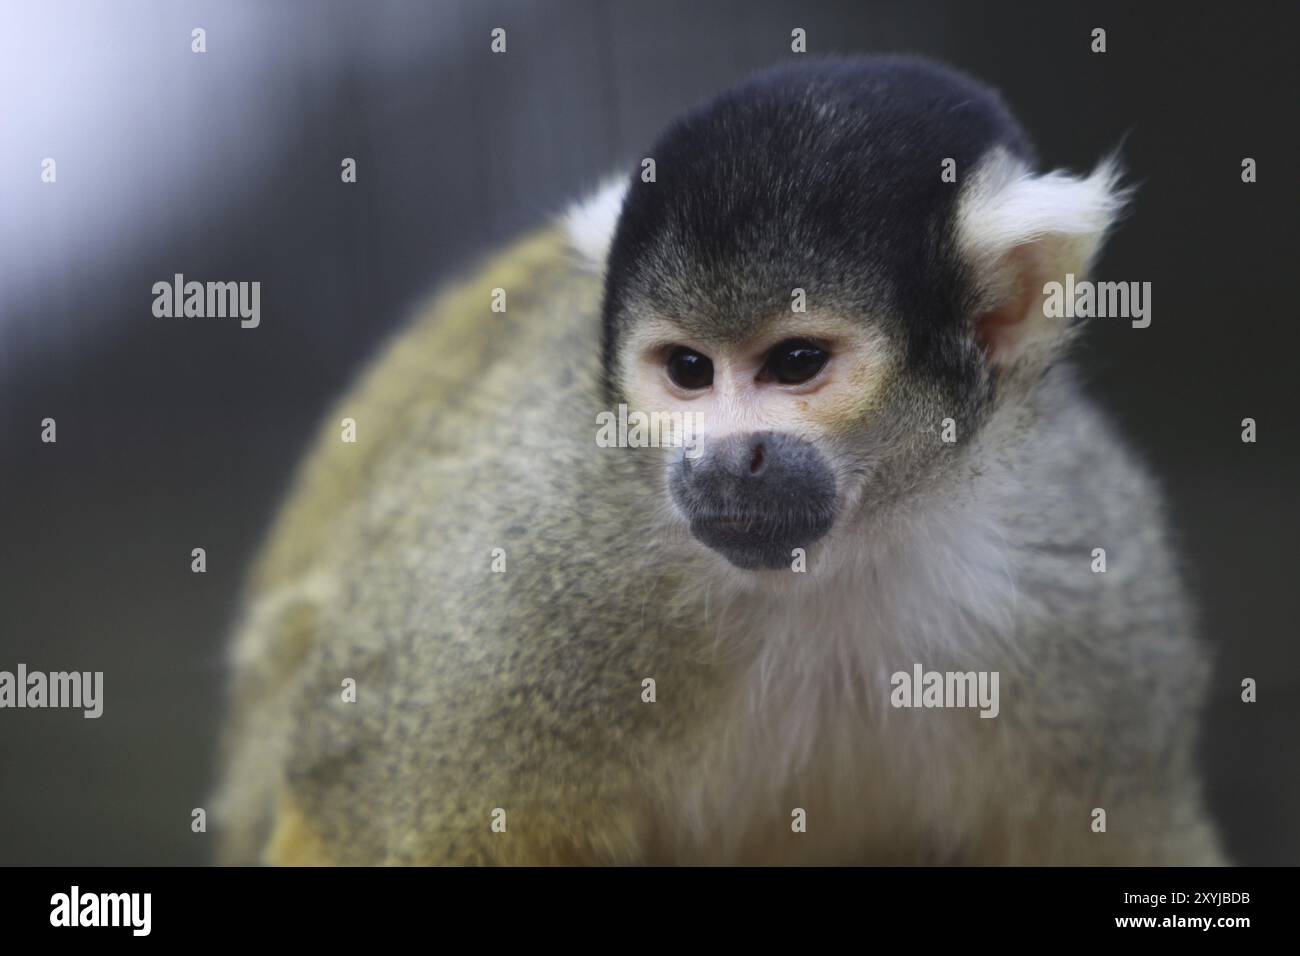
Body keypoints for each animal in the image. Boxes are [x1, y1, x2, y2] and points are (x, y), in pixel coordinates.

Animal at [214, 55, 1225, 865]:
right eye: (689, 370)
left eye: (797, 362)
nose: (730, 462)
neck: (841, 560)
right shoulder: (528, 566)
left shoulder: (1092, 596)